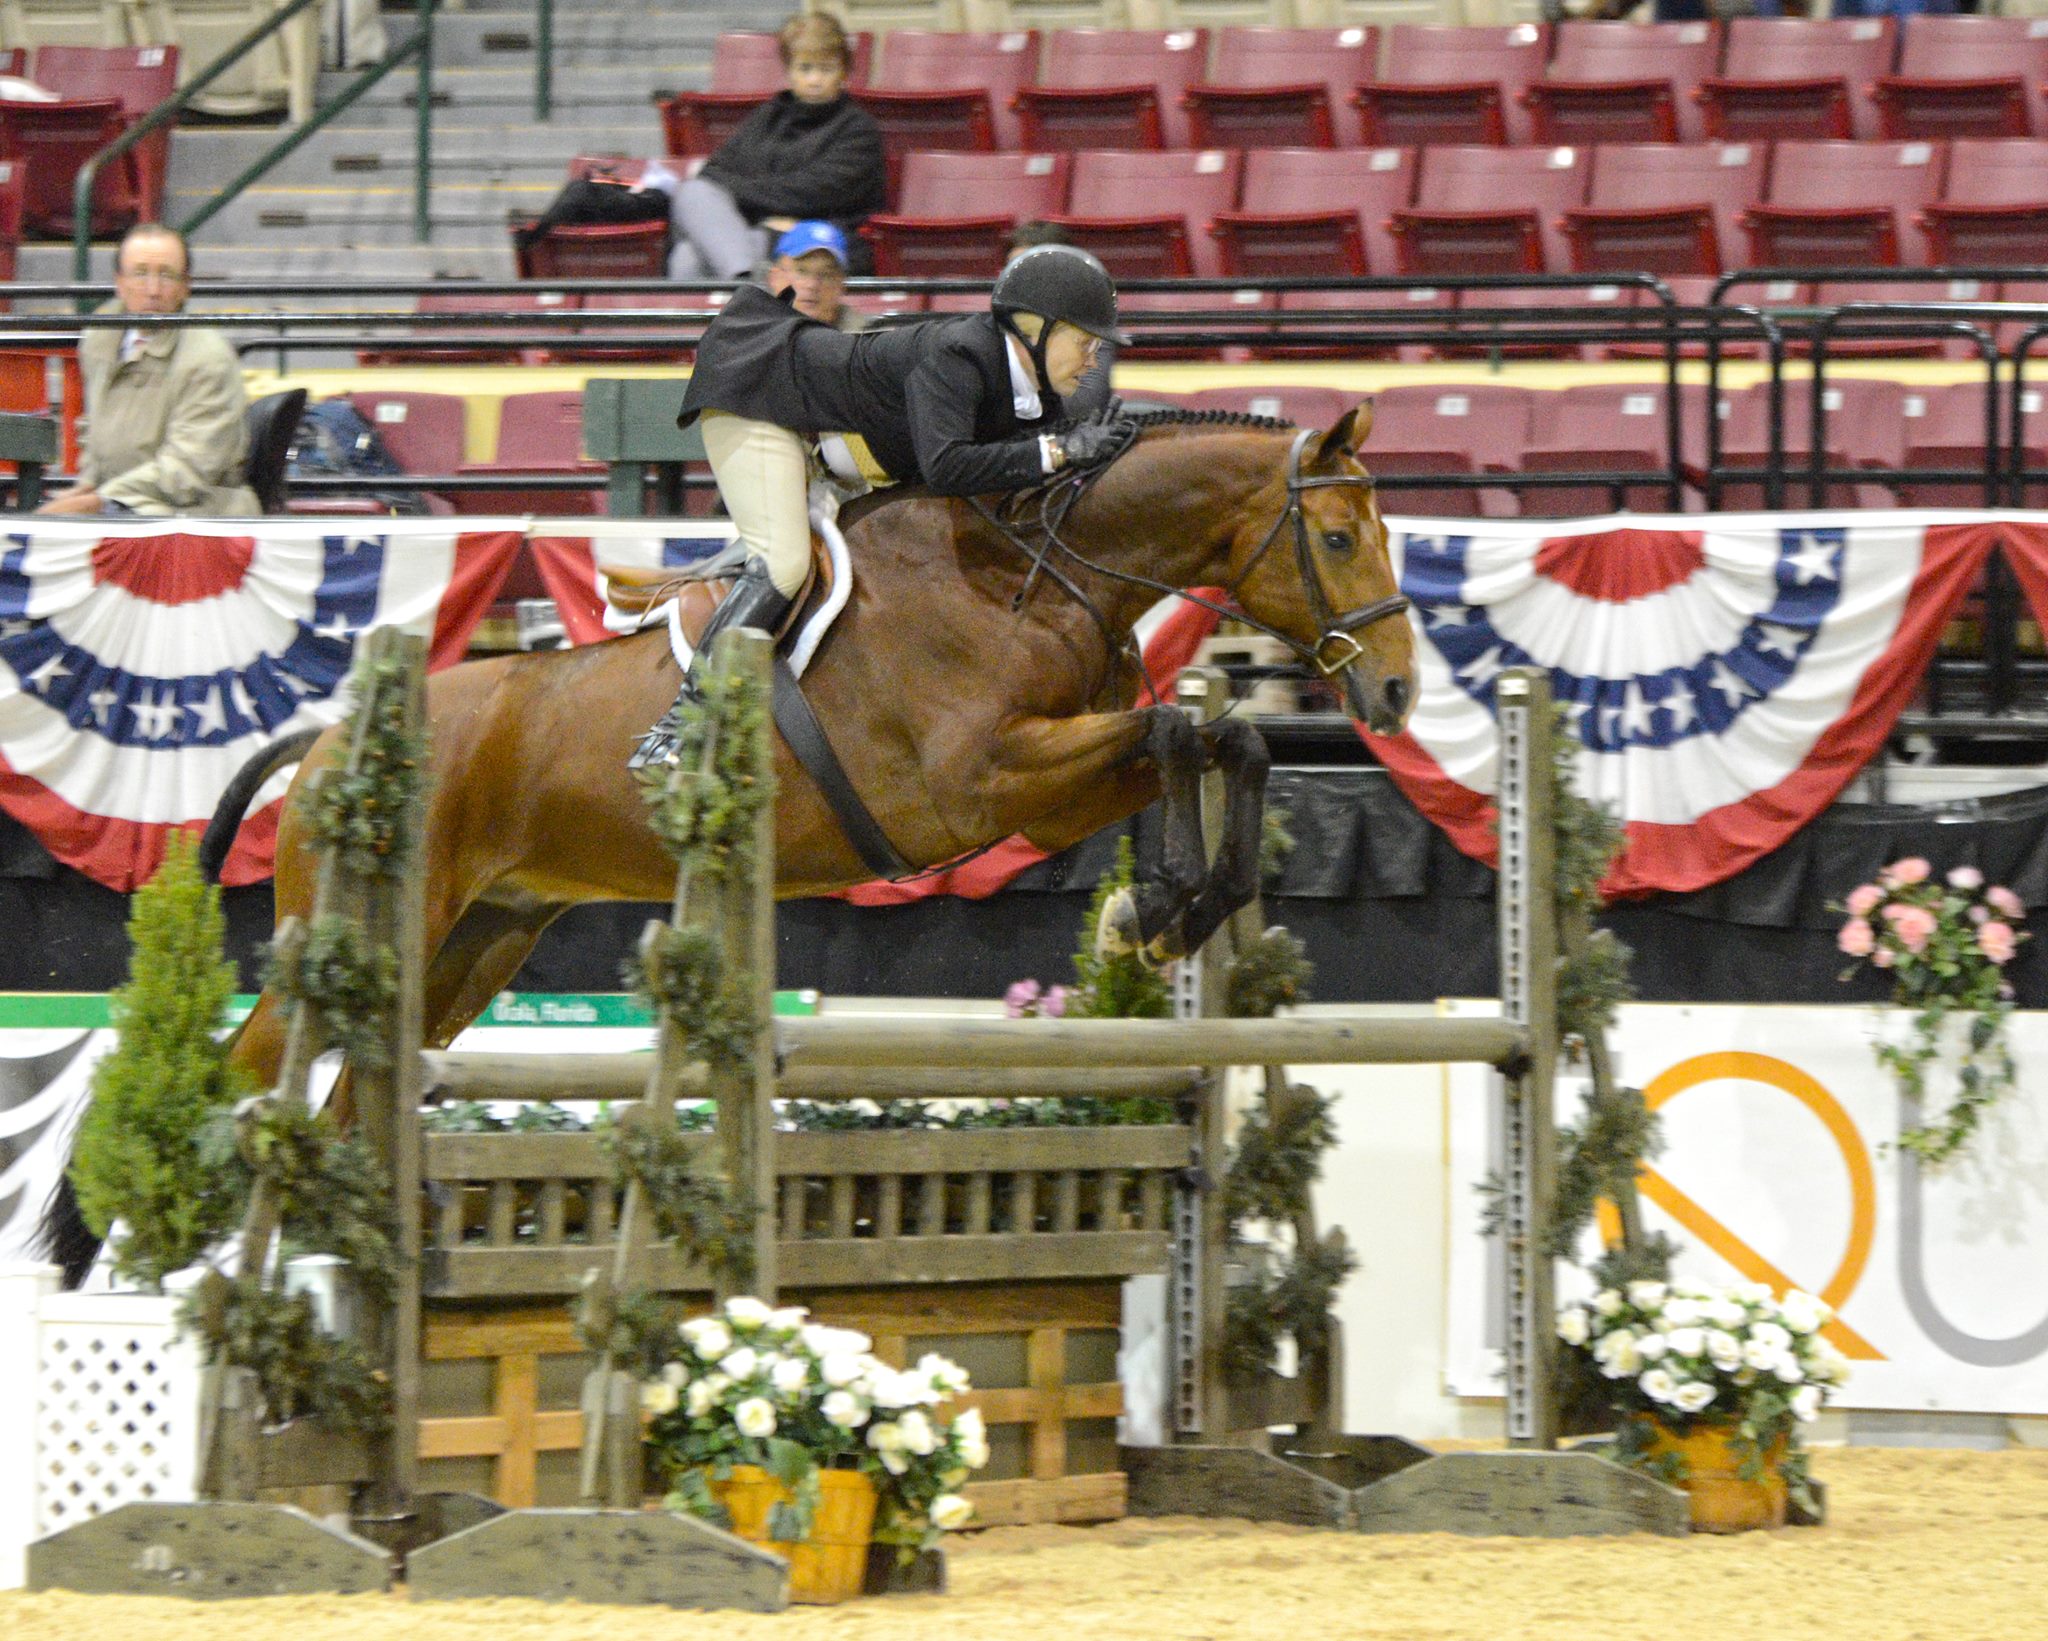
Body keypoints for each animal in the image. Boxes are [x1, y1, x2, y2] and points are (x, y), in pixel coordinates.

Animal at [207, 405, 1416, 1091]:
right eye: (1338, 537)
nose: (1397, 689)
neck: (1027, 571)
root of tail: (332, 739)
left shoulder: (1046, 798)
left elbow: (1228, 736)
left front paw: (1174, 912)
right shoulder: (980, 784)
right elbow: (1174, 727)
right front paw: (1156, 905)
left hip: (476, 940)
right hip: (382, 921)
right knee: (247, 1067)